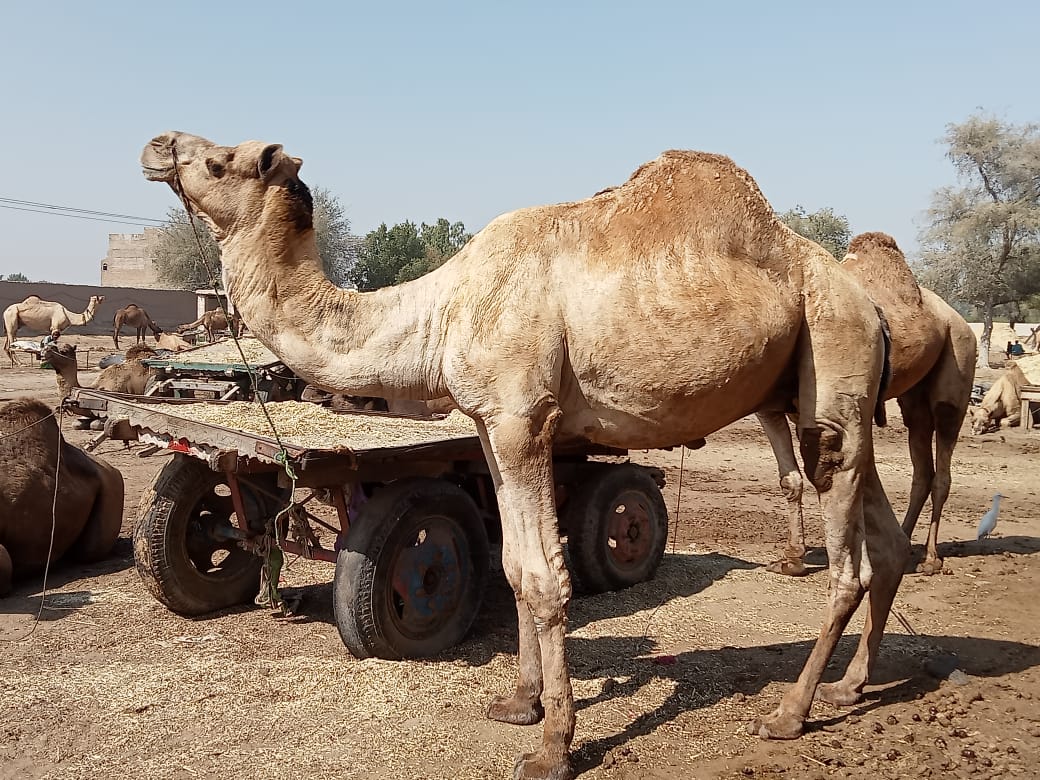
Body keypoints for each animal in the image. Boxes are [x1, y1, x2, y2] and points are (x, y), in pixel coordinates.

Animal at [142, 131, 908, 780]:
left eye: (220, 161)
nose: (156, 144)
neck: (439, 311)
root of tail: (871, 306)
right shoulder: (488, 423)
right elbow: (511, 564)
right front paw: (518, 702)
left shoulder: (521, 418)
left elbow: (545, 578)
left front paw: (552, 747)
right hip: (835, 393)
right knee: (885, 537)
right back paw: (849, 688)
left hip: (832, 358)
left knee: (849, 558)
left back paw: (789, 711)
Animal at [763, 232, 977, 577]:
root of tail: (960, 319)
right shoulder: (768, 408)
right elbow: (790, 480)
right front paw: (791, 560)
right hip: (914, 399)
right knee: (922, 466)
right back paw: (904, 542)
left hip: (958, 358)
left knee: (943, 465)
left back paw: (931, 558)